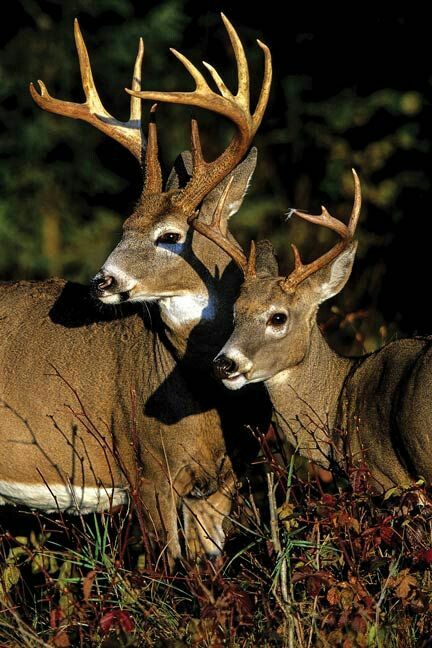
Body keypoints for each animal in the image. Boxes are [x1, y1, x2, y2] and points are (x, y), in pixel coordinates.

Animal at [0, 15, 272, 561]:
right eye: (123, 226)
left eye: (170, 236)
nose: (101, 281)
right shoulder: (145, 468)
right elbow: (165, 569)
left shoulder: (217, 485)